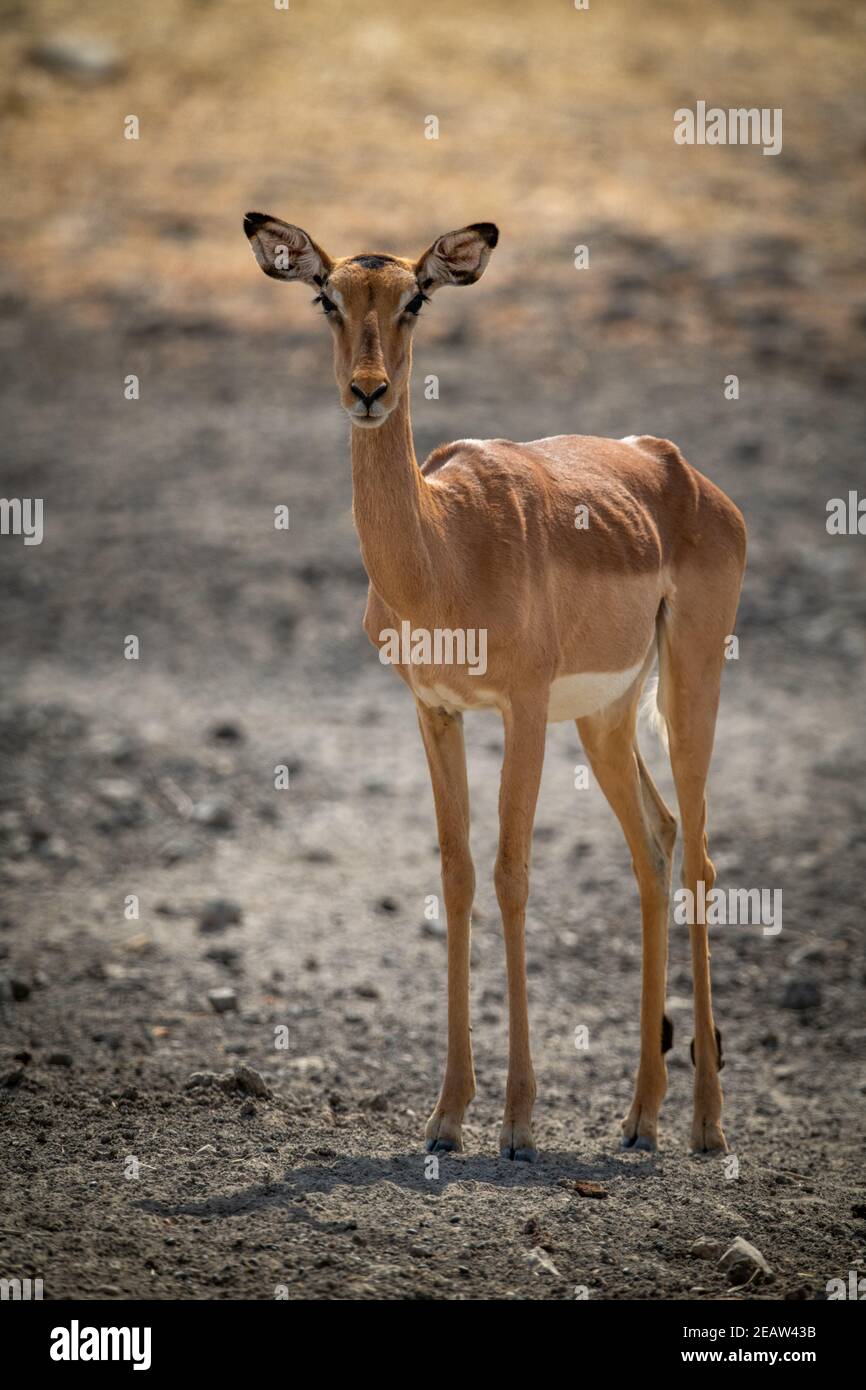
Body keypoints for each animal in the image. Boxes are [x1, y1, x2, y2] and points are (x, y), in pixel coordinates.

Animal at [244, 214, 747, 1160]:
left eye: (415, 298)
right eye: (328, 297)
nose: (367, 392)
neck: (446, 547)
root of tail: (684, 474)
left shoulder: (522, 710)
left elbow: (514, 873)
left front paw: (517, 1120)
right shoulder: (435, 710)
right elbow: (458, 874)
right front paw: (446, 1114)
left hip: (689, 679)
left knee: (698, 853)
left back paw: (706, 1125)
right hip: (606, 717)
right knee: (655, 843)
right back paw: (640, 1116)